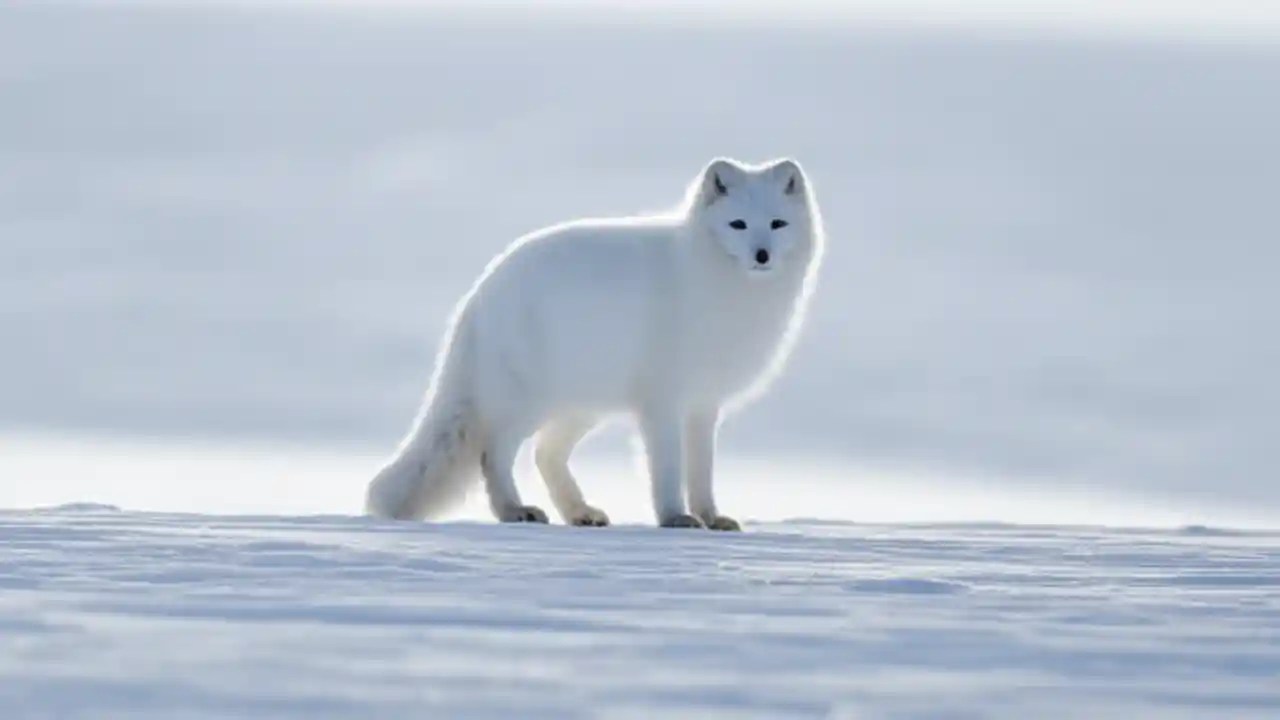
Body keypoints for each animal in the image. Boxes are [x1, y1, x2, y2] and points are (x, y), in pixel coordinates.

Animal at [365, 157, 824, 529]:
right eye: (738, 225)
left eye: (778, 224)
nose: (762, 255)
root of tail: (478, 295)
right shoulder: (662, 400)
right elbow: (667, 468)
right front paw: (675, 517)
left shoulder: (703, 404)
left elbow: (702, 472)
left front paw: (711, 517)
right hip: (526, 400)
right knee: (494, 453)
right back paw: (514, 510)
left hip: (581, 407)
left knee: (545, 453)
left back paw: (579, 512)